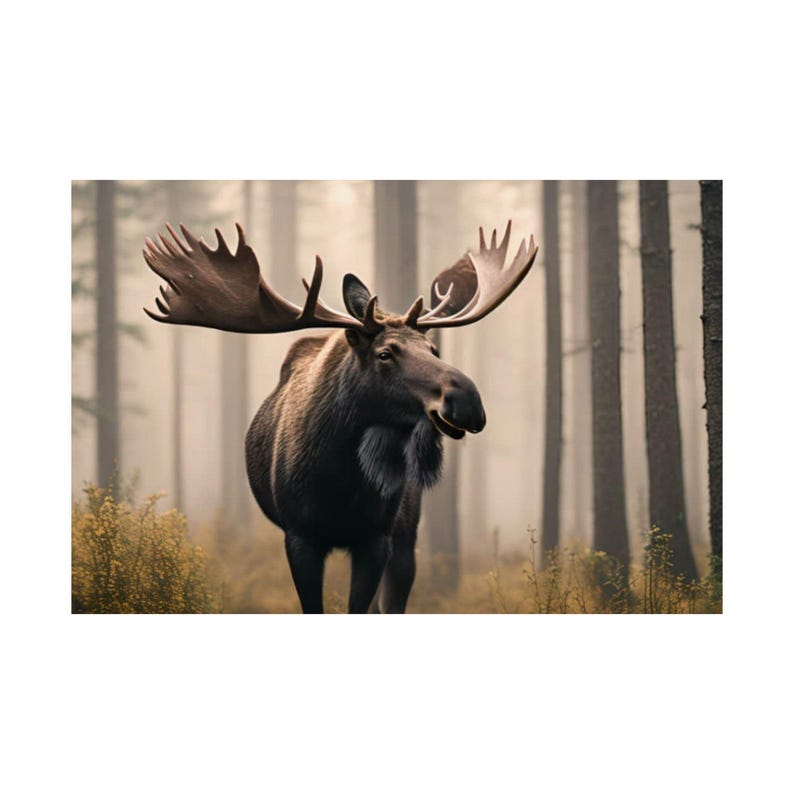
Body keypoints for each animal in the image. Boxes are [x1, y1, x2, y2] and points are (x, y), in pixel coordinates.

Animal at [143, 220, 537, 613]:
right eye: (384, 353)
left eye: (433, 349)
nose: (467, 400)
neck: (341, 479)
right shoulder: (300, 536)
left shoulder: (376, 537)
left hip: (406, 532)